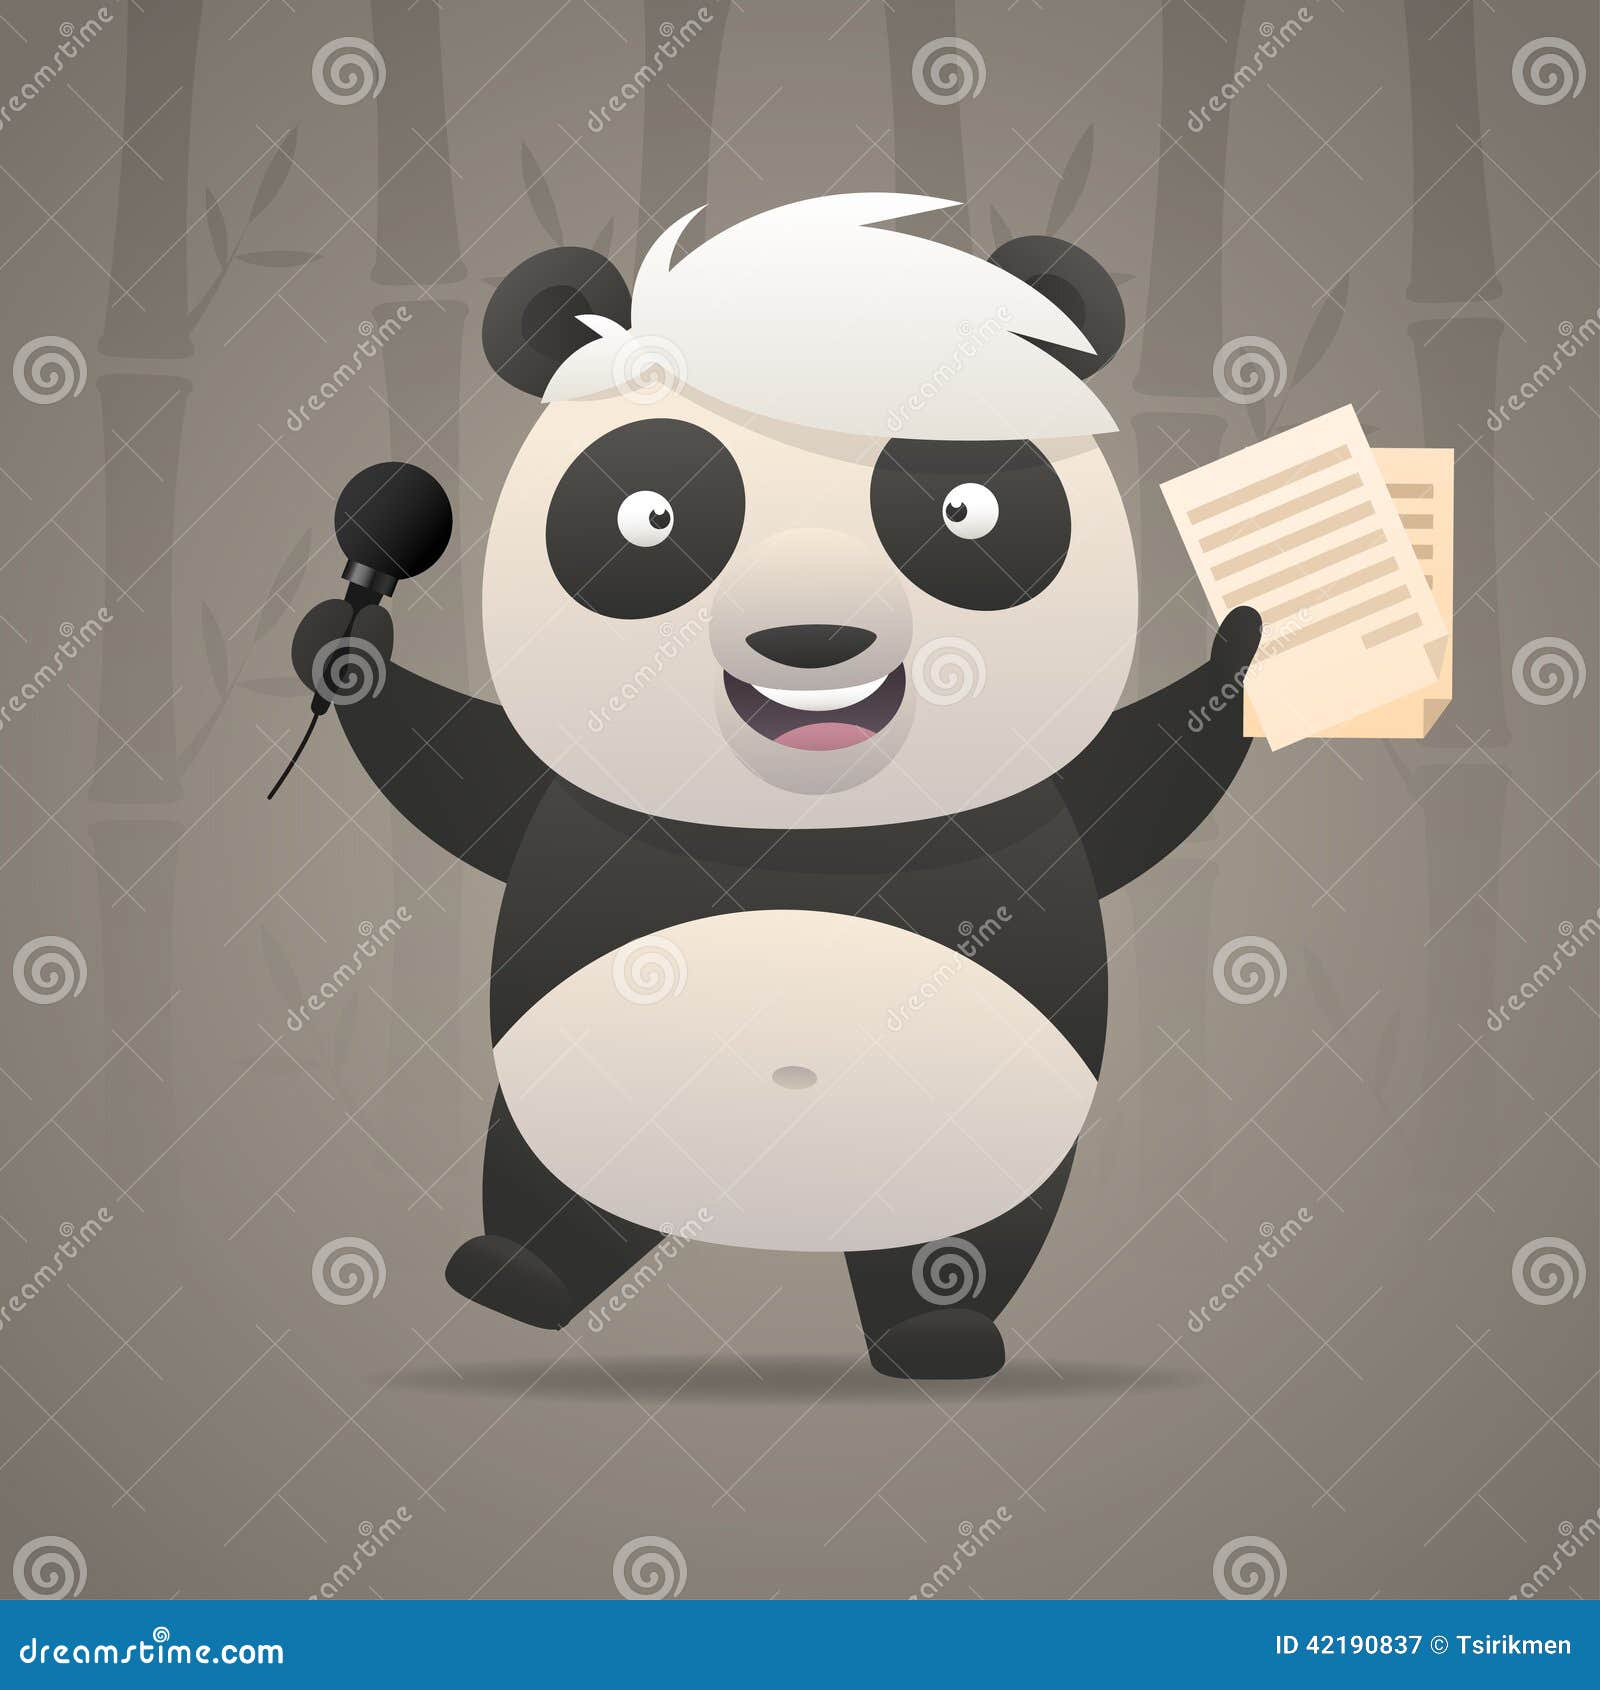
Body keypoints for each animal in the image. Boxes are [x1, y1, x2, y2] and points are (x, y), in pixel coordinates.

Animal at [291, 194, 1261, 1381]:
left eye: (966, 508)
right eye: (649, 515)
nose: (814, 635)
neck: (806, 820)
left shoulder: (1052, 813)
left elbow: (1151, 777)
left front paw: (1243, 643)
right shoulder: (562, 810)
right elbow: (459, 776)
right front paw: (346, 647)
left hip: (987, 1160)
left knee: (967, 1245)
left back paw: (937, 1330)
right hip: (559, 1119)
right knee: (540, 1193)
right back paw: (517, 1273)